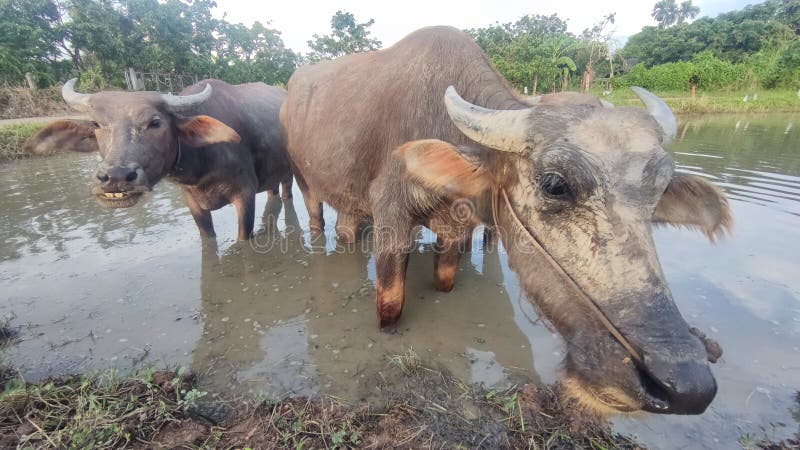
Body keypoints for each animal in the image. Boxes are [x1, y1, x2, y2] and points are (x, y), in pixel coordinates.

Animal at [33, 79, 292, 240]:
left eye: (155, 122)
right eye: (96, 124)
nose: (116, 177)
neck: (201, 164)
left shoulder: (244, 194)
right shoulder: (193, 204)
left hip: (288, 174)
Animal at [280, 26, 731, 415]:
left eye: (659, 188)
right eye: (555, 184)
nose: (685, 382)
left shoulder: (457, 227)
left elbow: (447, 277)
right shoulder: (391, 216)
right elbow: (390, 300)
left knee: (348, 227)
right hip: (304, 182)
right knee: (319, 222)